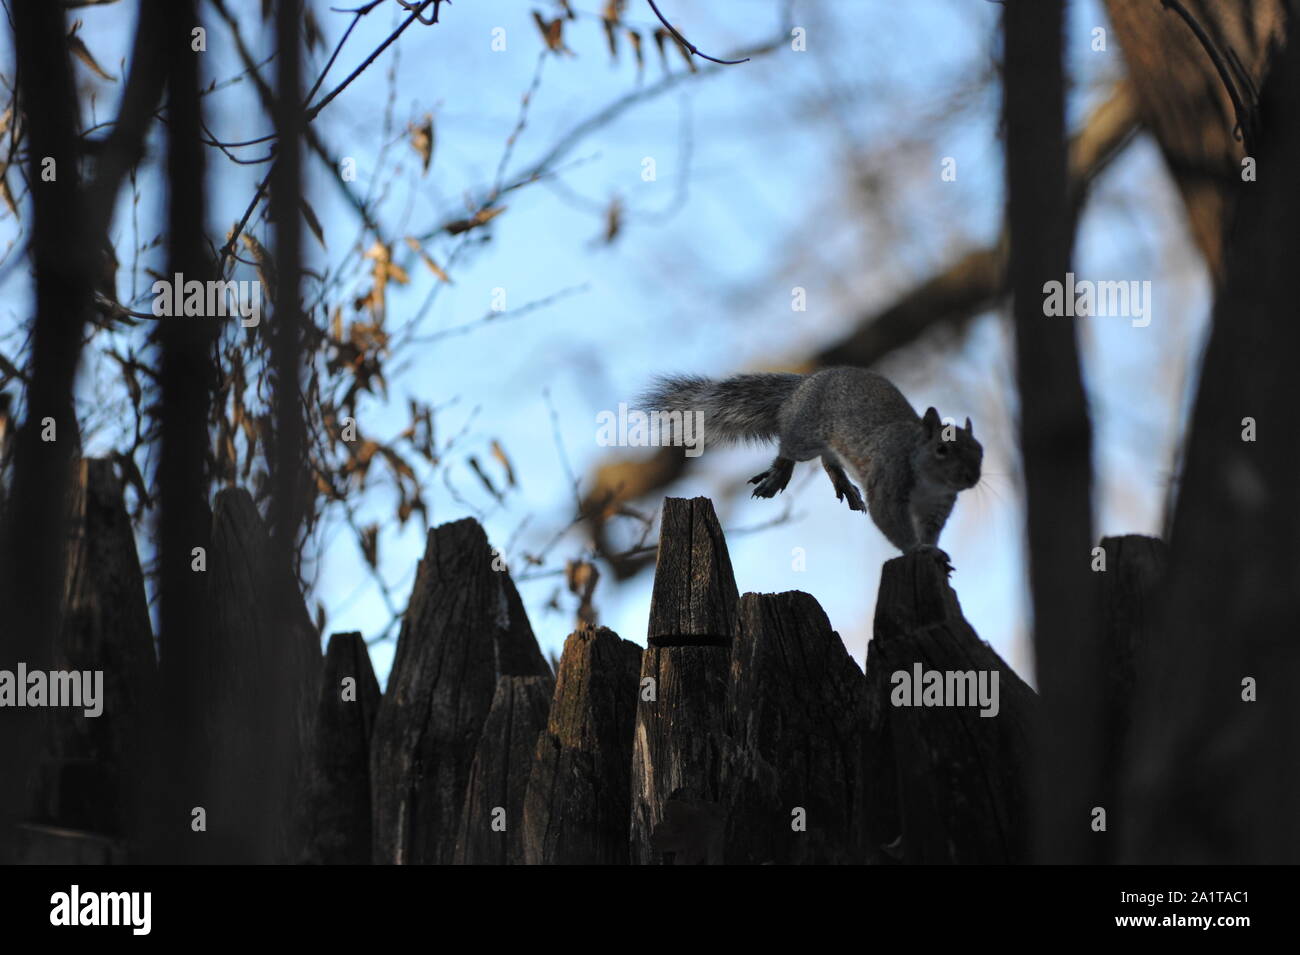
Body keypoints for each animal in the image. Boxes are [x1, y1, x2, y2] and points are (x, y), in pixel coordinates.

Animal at [642, 367, 983, 555]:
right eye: (942, 449)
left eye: (980, 451)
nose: (971, 477)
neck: (930, 482)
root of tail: (803, 387)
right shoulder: (889, 478)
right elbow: (889, 519)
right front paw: (915, 549)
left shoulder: (937, 507)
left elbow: (931, 529)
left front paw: (934, 551)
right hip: (805, 436)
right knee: (789, 449)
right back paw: (778, 474)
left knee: (829, 460)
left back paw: (844, 485)